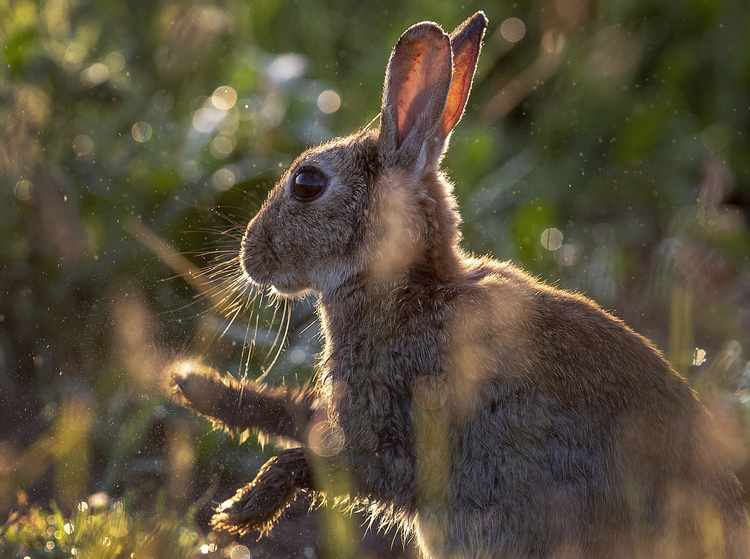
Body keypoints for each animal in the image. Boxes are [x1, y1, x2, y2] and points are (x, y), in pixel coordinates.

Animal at [171, 11, 749, 559]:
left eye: (307, 183)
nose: (249, 256)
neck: (409, 288)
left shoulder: (398, 434)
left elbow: (326, 462)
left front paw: (244, 509)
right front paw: (193, 384)